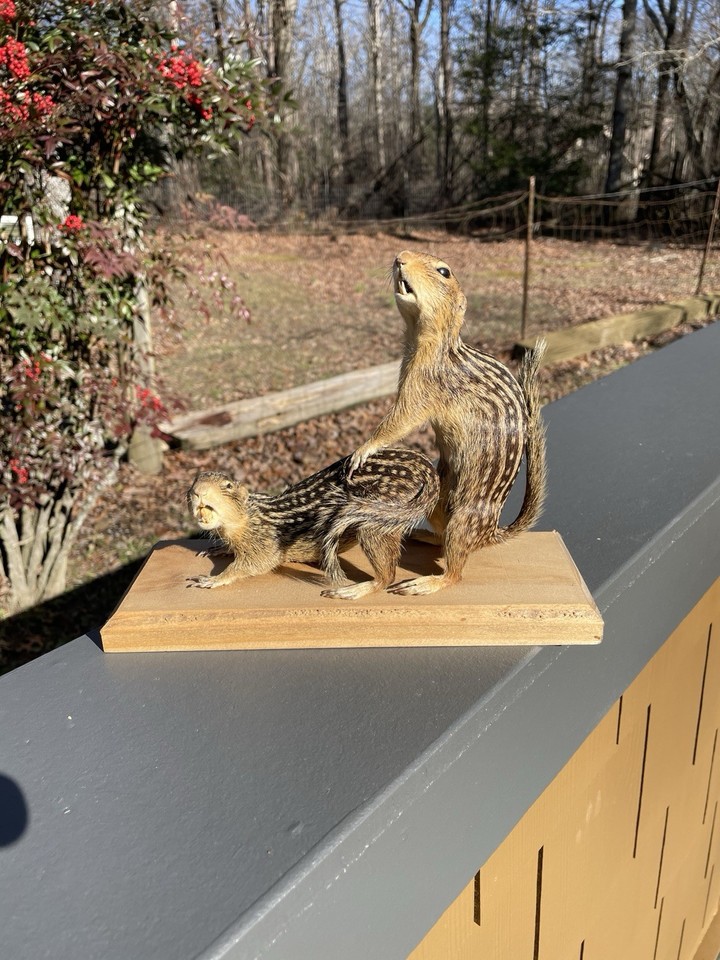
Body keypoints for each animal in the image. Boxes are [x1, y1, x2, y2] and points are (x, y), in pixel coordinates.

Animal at [186, 448, 439, 600]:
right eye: (194, 480)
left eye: (228, 486)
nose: (198, 491)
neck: (249, 517)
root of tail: (426, 469)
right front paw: (218, 549)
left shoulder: (264, 544)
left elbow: (253, 565)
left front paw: (212, 579)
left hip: (373, 520)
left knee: (387, 577)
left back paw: (353, 590)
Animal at [348, 249, 547, 595]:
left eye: (444, 271)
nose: (400, 257)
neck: (426, 340)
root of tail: (490, 534)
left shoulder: (425, 385)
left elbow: (401, 419)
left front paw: (365, 448)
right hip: (439, 501)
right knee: (441, 538)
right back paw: (421, 535)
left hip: (463, 521)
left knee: (455, 572)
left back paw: (425, 583)